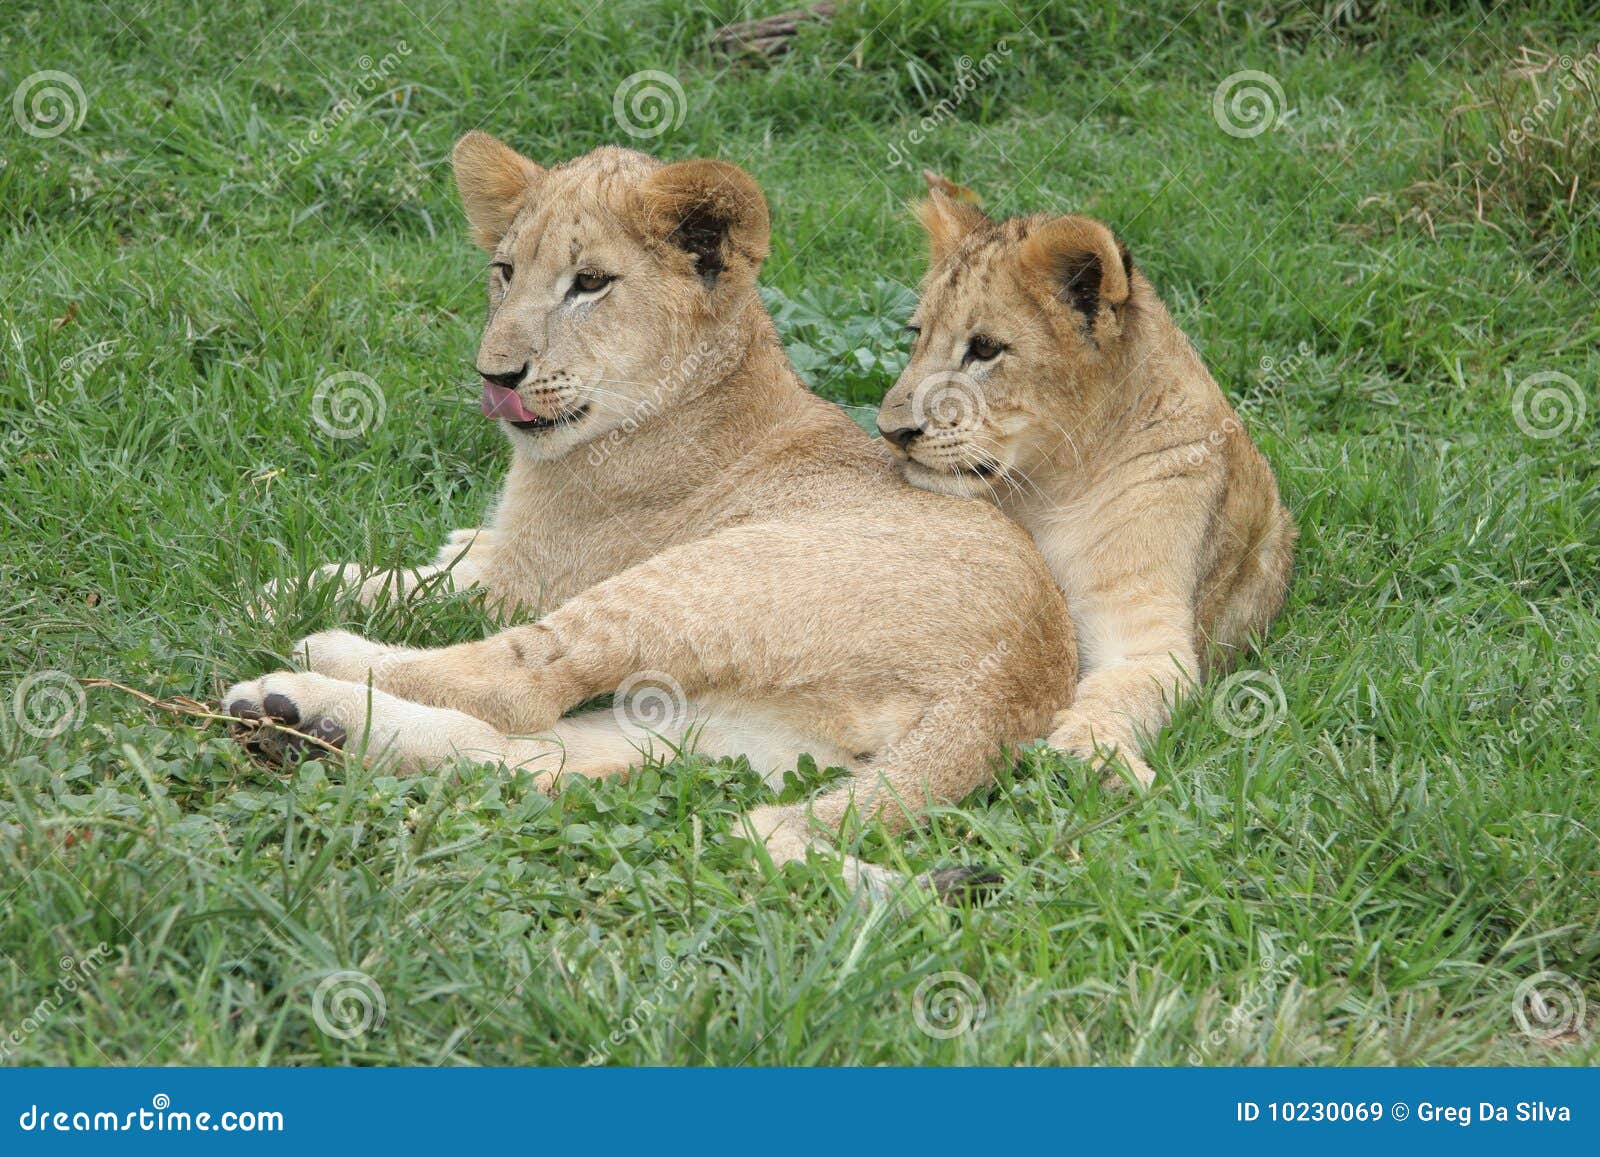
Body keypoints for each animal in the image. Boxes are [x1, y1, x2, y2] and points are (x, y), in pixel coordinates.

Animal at [224, 136, 1076, 897]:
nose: (495, 375)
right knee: (533, 758)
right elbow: (448, 561)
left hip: (702, 576)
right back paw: (294, 718)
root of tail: (1017, 678)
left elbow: (419, 585)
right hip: (720, 728)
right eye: (504, 272)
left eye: (591, 283)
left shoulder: (532, 580)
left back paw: (318, 659)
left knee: (515, 686)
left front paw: (298, 588)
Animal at [876, 183, 1295, 787]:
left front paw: (1089, 753)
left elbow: (1129, 687)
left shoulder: (1147, 632)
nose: (891, 432)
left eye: (985, 349)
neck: (1044, 488)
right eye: (916, 337)